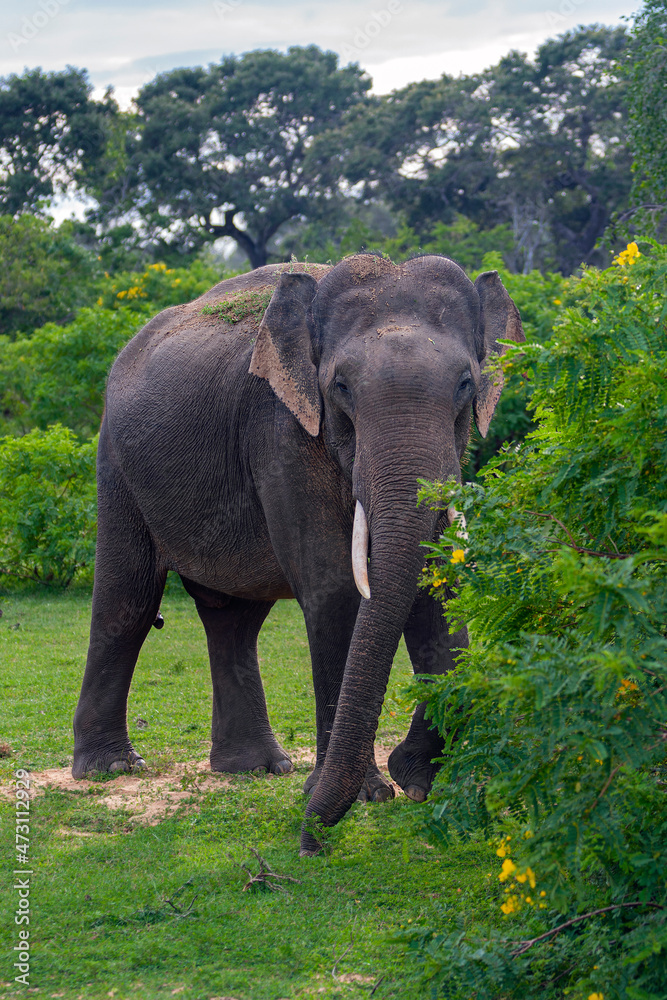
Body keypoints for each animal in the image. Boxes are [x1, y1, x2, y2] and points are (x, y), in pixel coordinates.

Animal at [72, 252, 524, 855]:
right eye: (341, 387)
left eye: (466, 384)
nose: (309, 842)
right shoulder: (282, 432)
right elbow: (335, 591)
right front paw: (371, 793)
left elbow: (435, 592)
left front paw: (421, 779)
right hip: (116, 465)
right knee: (129, 603)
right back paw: (111, 769)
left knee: (233, 618)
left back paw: (256, 768)